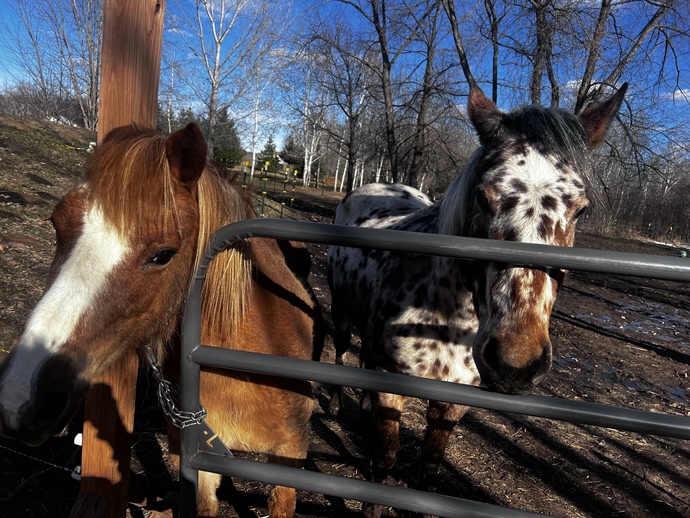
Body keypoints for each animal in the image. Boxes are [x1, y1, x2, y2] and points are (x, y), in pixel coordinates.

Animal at [0, 123, 323, 518]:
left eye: (163, 255)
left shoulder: (290, 459)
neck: (244, 370)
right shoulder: (196, 464)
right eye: (57, 225)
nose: (18, 397)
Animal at [326, 84, 627, 517]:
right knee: (338, 350)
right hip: (340, 312)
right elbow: (384, 461)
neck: (445, 316)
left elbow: (430, 470)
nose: (515, 364)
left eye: (581, 209)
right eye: (483, 198)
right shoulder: (391, 385)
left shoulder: (454, 401)